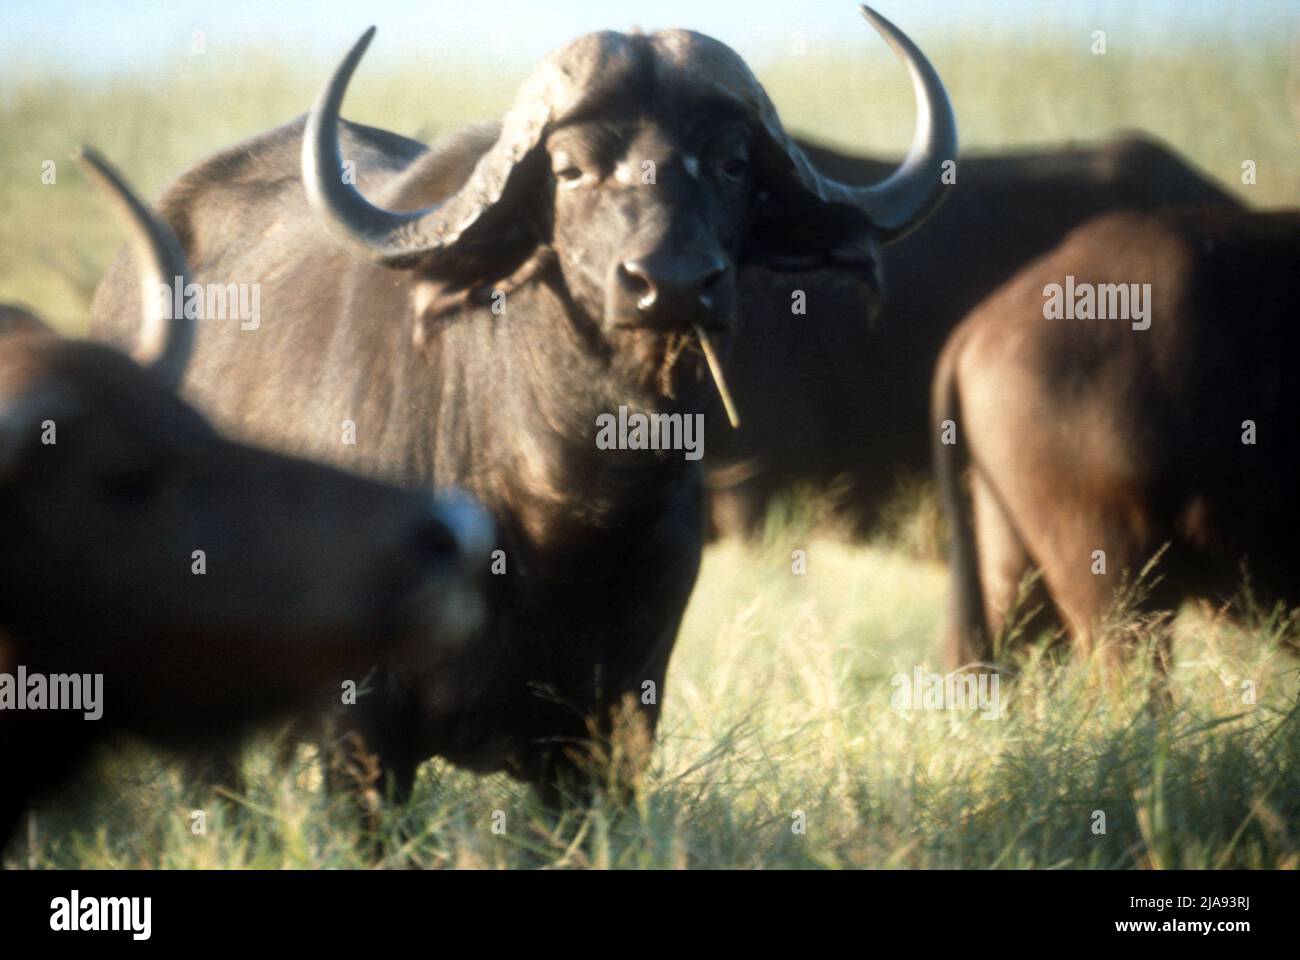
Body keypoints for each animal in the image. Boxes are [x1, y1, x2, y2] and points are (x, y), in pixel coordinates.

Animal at [91, 7, 957, 798]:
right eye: (570, 170)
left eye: (734, 164)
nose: (672, 283)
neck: (566, 518)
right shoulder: (361, 733)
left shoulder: (610, 734)